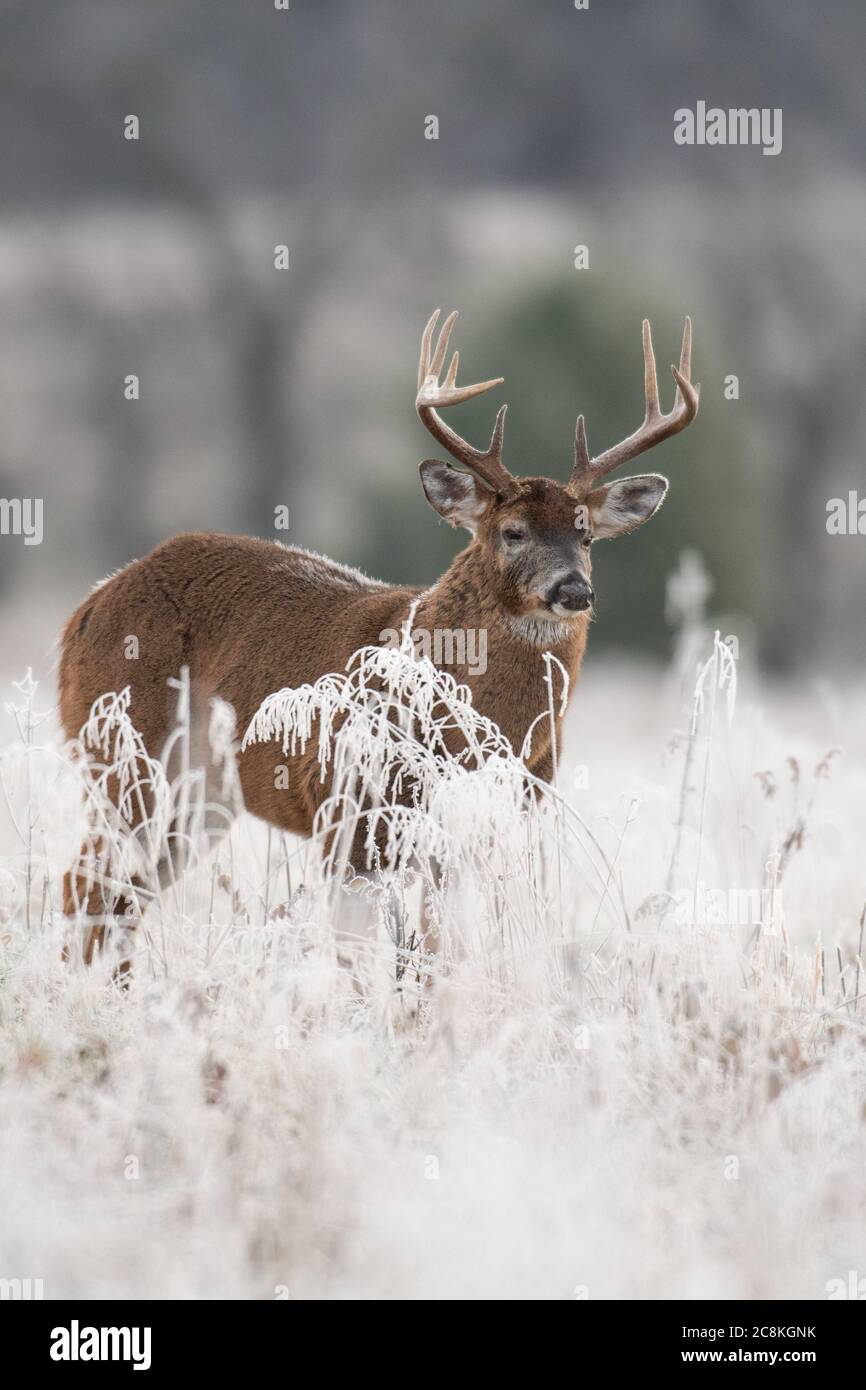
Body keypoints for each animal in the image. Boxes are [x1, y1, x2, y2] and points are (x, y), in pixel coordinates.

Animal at [59, 309, 699, 973]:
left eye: (586, 536)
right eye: (513, 532)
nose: (574, 589)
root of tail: (84, 610)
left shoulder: (490, 826)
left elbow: (437, 955)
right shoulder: (350, 812)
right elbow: (369, 961)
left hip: (199, 796)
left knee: (123, 895)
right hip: (121, 750)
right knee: (87, 885)